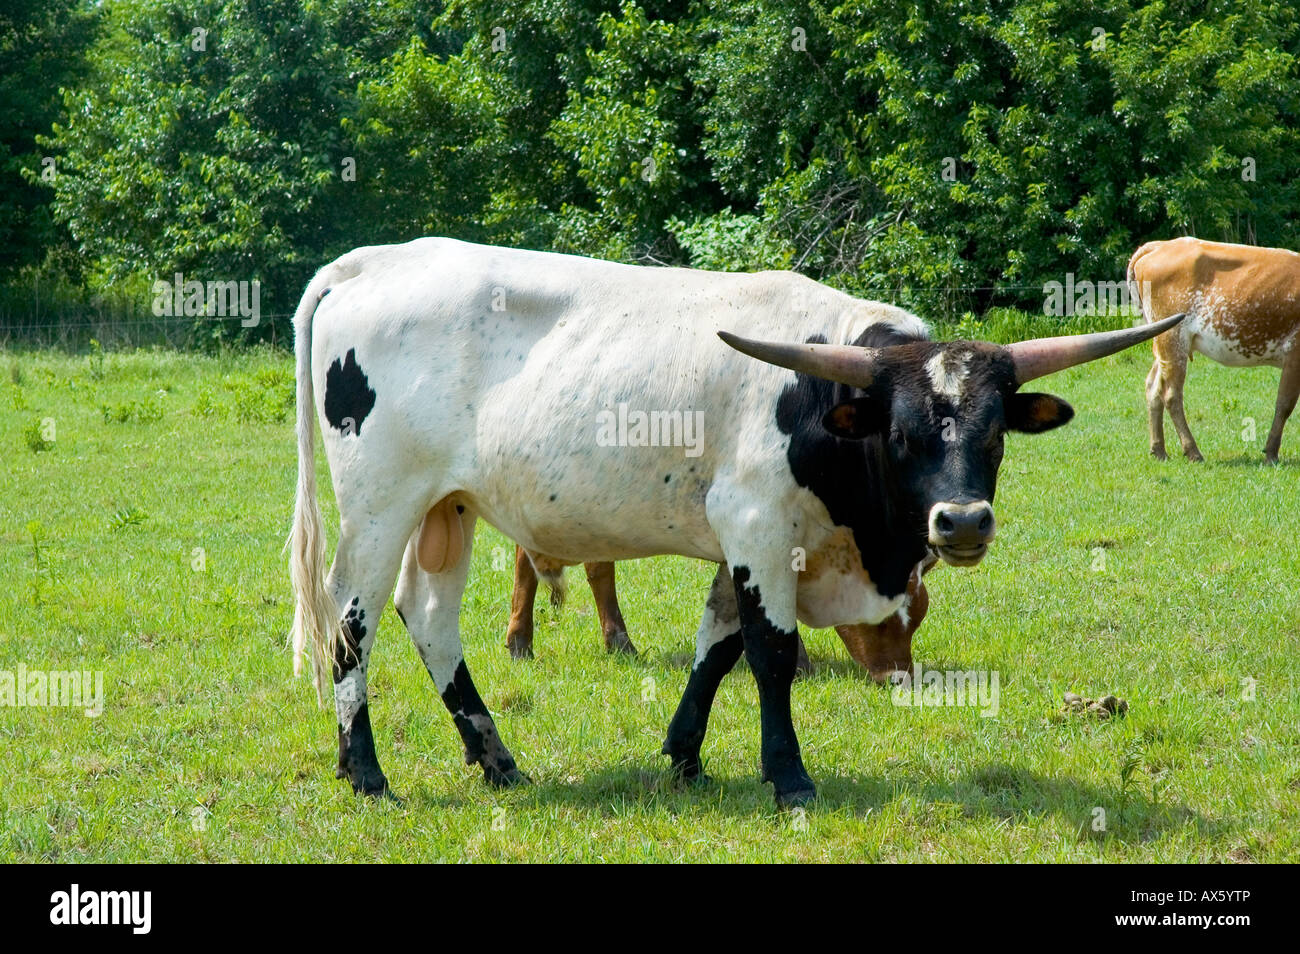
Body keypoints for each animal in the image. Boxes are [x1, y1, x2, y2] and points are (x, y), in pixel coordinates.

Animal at [1130, 236, 1300, 463]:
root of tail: (1162, 244)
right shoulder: (1295, 353)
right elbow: (1284, 405)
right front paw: (1271, 454)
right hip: (1173, 338)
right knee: (1171, 395)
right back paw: (1192, 451)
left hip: (1162, 340)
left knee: (1153, 387)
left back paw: (1159, 450)